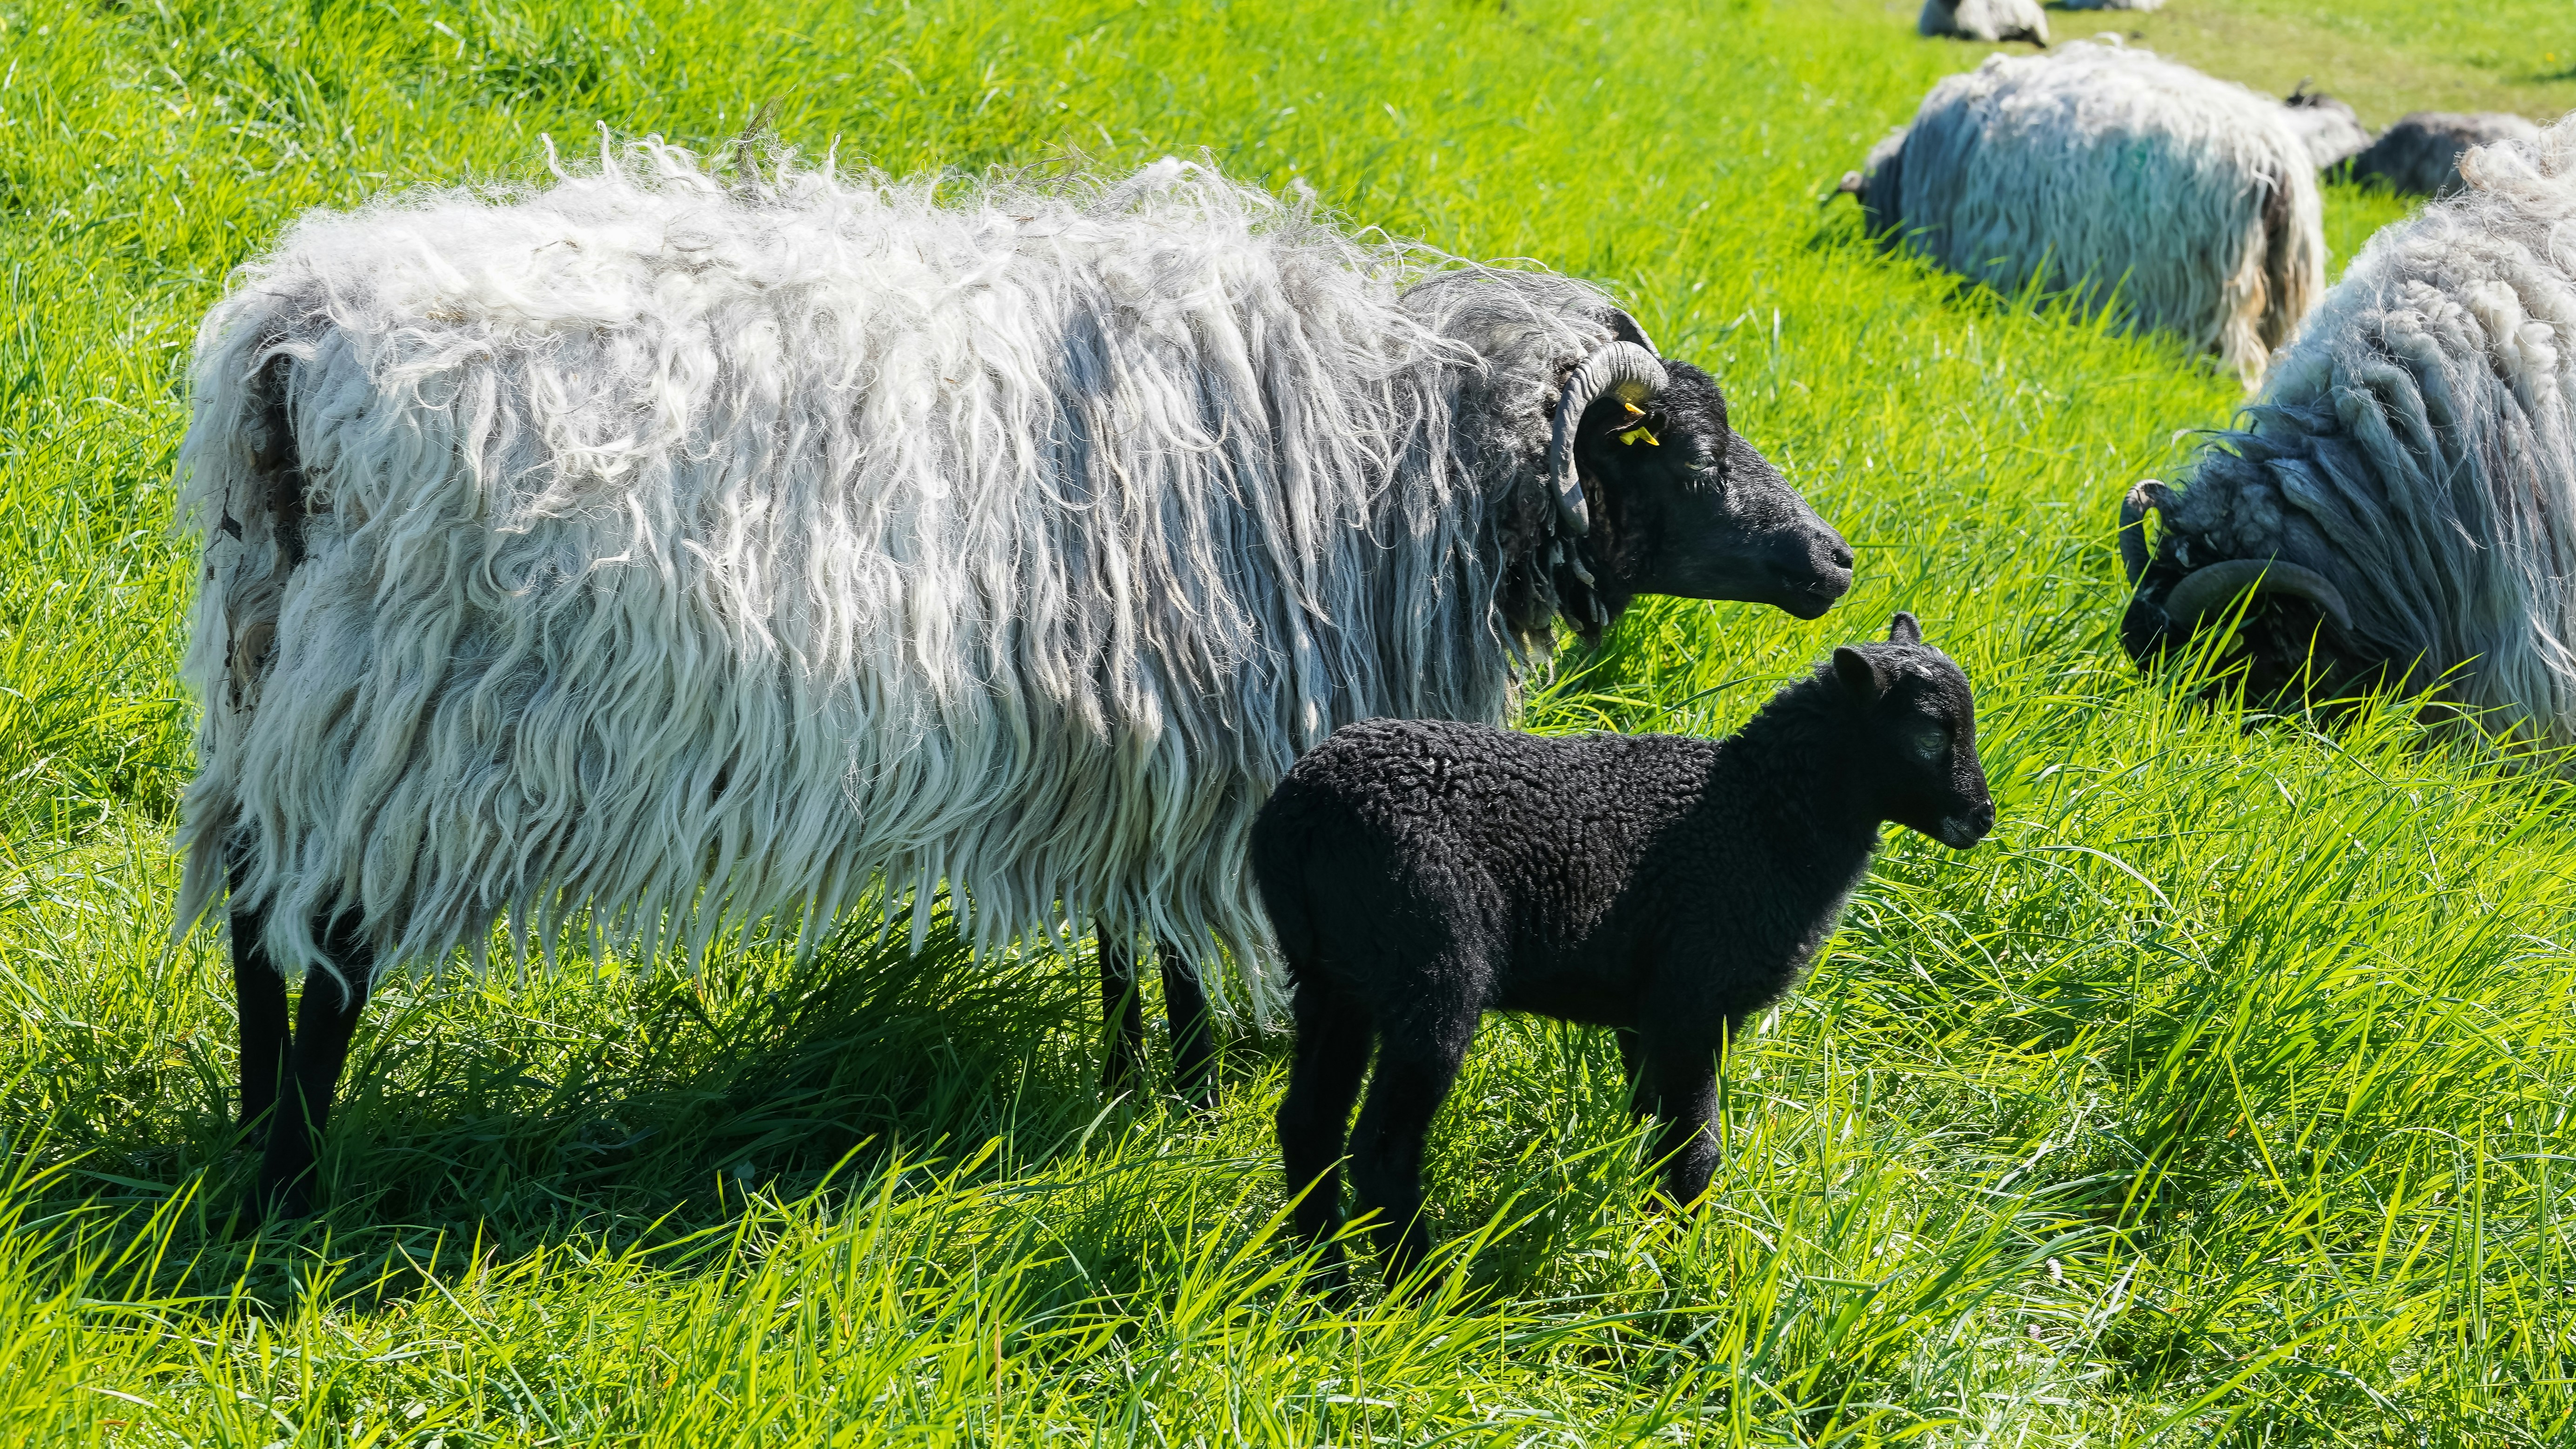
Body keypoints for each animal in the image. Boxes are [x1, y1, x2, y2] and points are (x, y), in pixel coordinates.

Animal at [180, 144, 1858, 1217]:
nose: (1835, 563)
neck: (1394, 457)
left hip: (268, 683)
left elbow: (1126, 936)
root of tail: (288, 349)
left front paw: (1129, 1079)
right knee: (324, 951)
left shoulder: (1130, 738)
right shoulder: (1204, 741)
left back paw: (249, 1135)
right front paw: (1188, 1087)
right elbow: (1176, 940)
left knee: (257, 927)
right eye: (1676, 446)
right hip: (401, 720)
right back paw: (298, 1180)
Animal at [1252, 613, 1993, 1283]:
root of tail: (1299, 813)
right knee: (1381, 1154)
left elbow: (1656, 1140)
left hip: (1334, 978)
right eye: (1930, 732)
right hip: (1431, 967)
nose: (1982, 818)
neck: (1764, 812)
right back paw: (1422, 1297)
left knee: (1308, 1125)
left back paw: (1323, 1289)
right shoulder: (1696, 1000)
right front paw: (1685, 1275)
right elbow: (1697, 1150)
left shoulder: (1649, 1018)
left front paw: (1650, 1244)